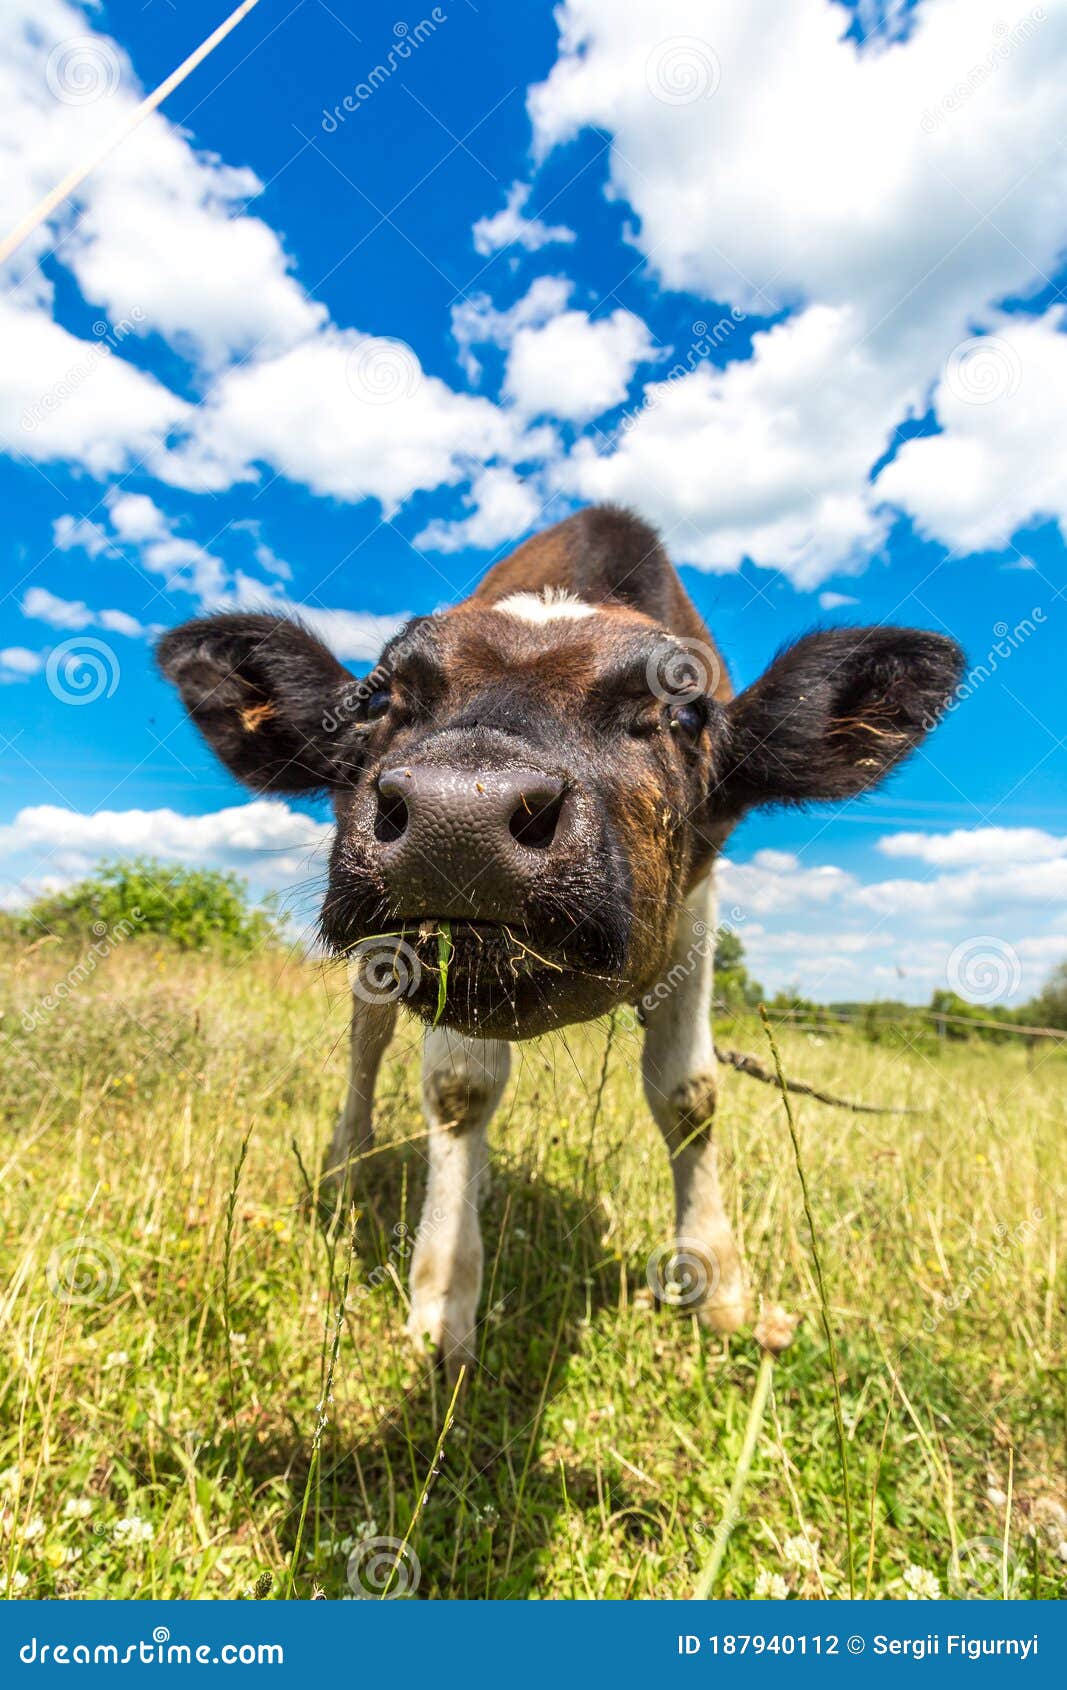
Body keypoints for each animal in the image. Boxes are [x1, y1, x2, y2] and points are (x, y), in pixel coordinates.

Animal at [157, 505, 963, 1377]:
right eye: (379, 700)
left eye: (684, 713)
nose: (459, 814)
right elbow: (459, 1086)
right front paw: (445, 1293)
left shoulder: (695, 904)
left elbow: (689, 1092)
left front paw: (714, 1281)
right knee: (367, 1045)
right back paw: (350, 1166)